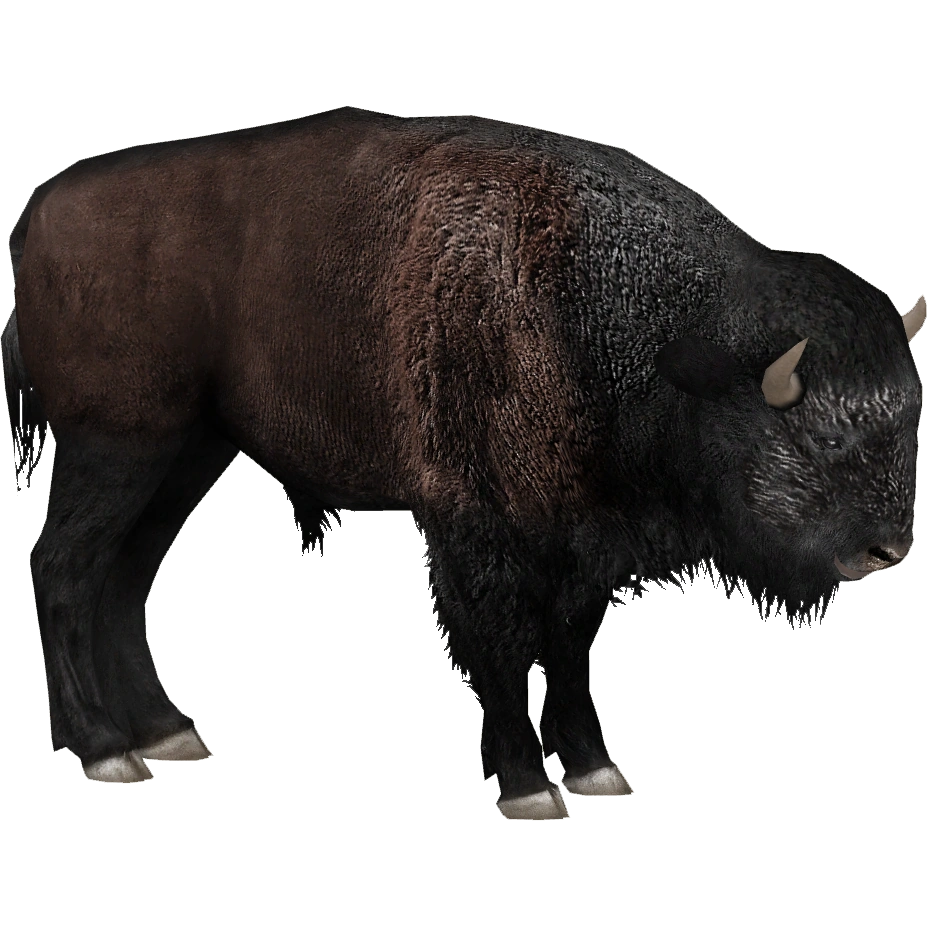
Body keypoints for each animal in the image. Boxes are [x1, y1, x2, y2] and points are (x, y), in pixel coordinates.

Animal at [3, 107, 924, 820]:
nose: (887, 550)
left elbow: (569, 648)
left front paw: (597, 771)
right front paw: (527, 788)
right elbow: (499, 647)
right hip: (117, 445)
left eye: (909, 418)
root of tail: (41, 208)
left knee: (126, 577)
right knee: (66, 568)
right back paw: (105, 751)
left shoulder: (579, 541)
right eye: (817, 435)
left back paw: (167, 734)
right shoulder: (477, 529)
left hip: (189, 453)